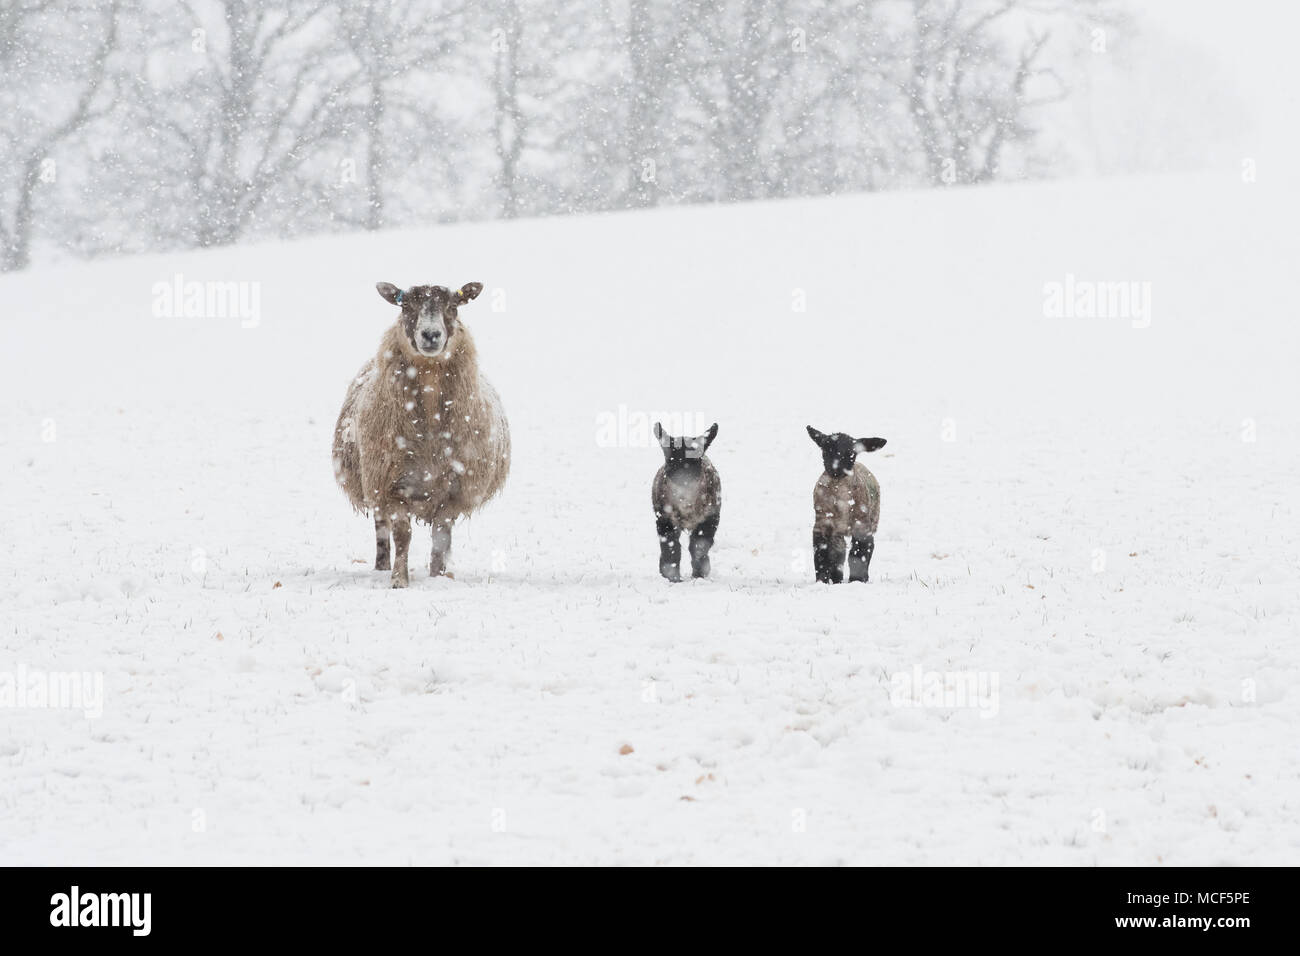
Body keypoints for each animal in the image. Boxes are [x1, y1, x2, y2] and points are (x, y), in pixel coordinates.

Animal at [332, 281, 509, 588]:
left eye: (453, 306)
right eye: (405, 305)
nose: (431, 334)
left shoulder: (454, 491)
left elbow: (440, 538)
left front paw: (438, 576)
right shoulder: (391, 486)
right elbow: (402, 536)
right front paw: (398, 580)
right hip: (373, 481)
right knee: (381, 532)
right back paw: (381, 567)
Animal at [651, 422, 721, 581]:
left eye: (696, 459)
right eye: (669, 460)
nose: (681, 478)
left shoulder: (710, 517)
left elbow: (699, 546)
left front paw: (700, 574)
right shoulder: (664, 519)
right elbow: (671, 548)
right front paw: (672, 577)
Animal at [806, 426, 887, 583]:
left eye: (851, 453)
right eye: (825, 450)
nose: (835, 469)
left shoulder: (862, 527)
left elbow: (858, 555)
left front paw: (857, 581)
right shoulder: (822, 526)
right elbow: (822, 556)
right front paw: (823, 582)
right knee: (838, 554)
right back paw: (836, 579)